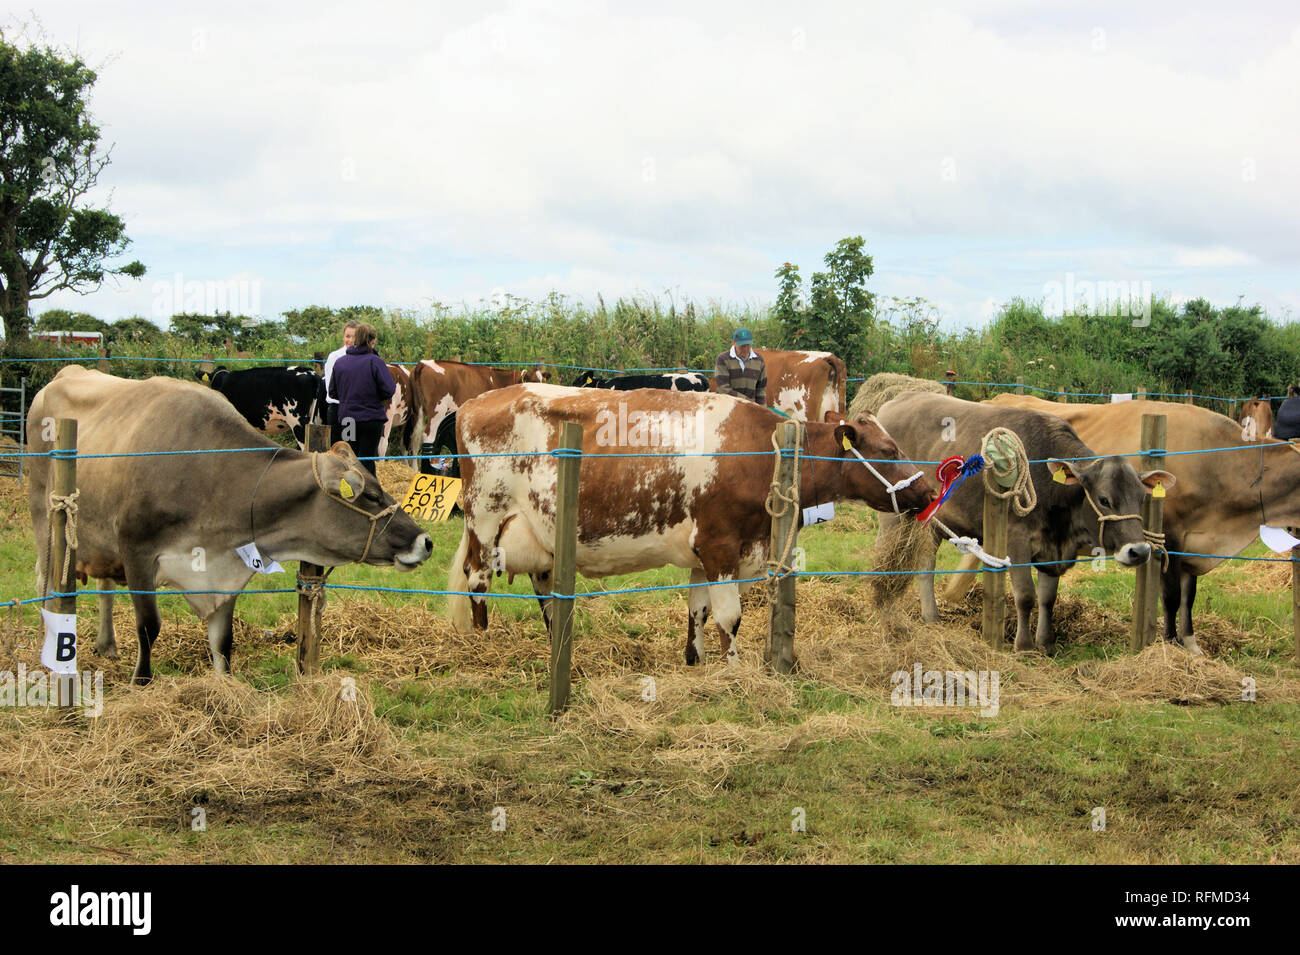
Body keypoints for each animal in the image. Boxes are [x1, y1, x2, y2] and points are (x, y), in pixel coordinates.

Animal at [408, 360, 549, 473]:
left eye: (544, 382)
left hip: (418, 411)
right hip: (438, 410)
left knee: (415, 437)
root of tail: (424, 363)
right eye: (533, 382)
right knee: (429, 436)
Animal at [446, 384, 935, 664]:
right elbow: (729, 616)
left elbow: (697, 611)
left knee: (545, 588)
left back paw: (559, 644)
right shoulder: (721, 545)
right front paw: (733, 669)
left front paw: (695, 661)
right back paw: (482, 645)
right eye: (888, 450)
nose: (930, 492)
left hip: (539, 532)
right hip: (486, 516)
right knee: (477, 579)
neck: (765, 449)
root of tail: (476, 401)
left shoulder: (705, 552)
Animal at [876, 392, 1172, 654]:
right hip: (891, 514)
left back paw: (931, 616)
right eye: (1104, 499)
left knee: (925, 563)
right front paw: (1025, 646)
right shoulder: (1016, 540)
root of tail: (899, 399)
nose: (1139, 551)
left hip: (933, 523)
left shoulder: (1052, 551)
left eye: (1142, 497)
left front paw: (1046, 643)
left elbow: (1047, 598)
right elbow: (1026, 595)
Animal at [984, 393, 1300, 653]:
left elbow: (1189, 597)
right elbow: (1172, 597)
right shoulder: (1169, 538)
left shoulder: (1192, 545)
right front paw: (1170, 645)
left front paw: (1191, 645)